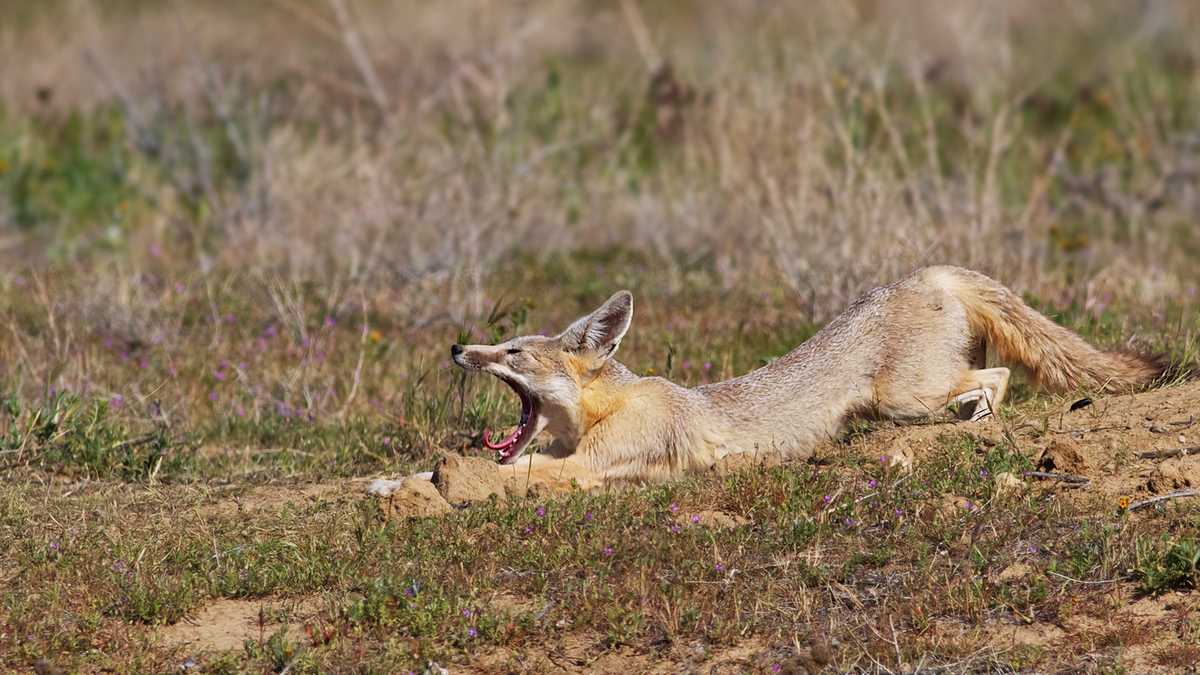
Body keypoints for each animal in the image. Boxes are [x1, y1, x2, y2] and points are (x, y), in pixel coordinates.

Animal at [369, 265, 1164, 494]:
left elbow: (506, 472)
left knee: (996, 376)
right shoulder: (572, 455)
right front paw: (396, 481)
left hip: (904, 397)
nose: (457, 348)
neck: (608, 408)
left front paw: (442, 481)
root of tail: (928, 270)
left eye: (511, 353)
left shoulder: (591, 467)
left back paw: (974, 420)